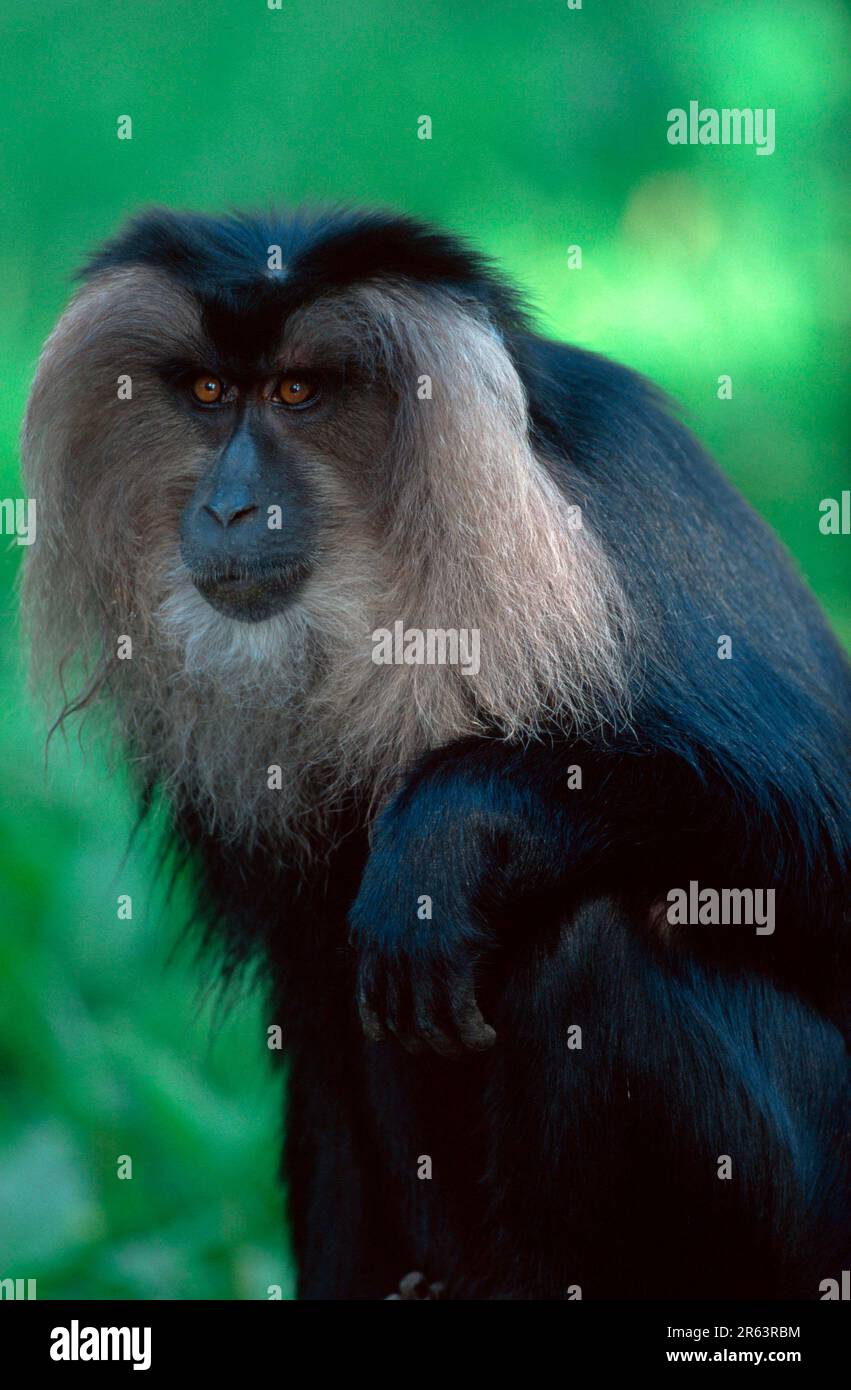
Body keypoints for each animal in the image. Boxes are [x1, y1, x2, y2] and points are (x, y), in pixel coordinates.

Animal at [21, 207, 850, 1301]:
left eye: (296, 393)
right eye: (207, 394)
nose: (229, 507)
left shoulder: (624, 493)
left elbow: (823, 827)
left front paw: (452, 833)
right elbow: (320, 1018)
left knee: (601, 950)